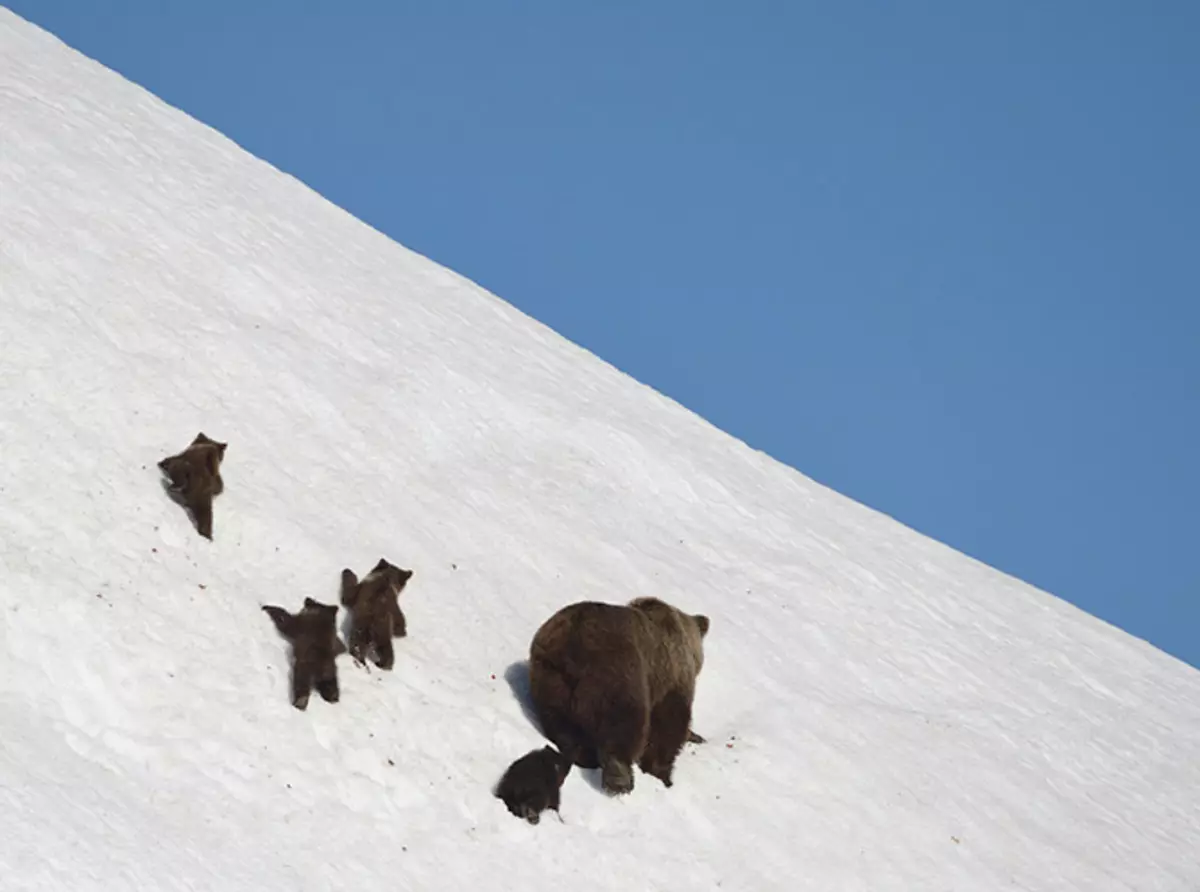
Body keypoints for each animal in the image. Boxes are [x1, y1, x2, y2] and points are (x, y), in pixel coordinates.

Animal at [530, 600, 705, 797]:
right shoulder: (668, 678)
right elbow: (667, 727)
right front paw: (663, 775)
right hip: (615, 671)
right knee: (624, 721)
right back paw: (619, 778)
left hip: (550, 678)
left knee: (561, 723)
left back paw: (583, 755)